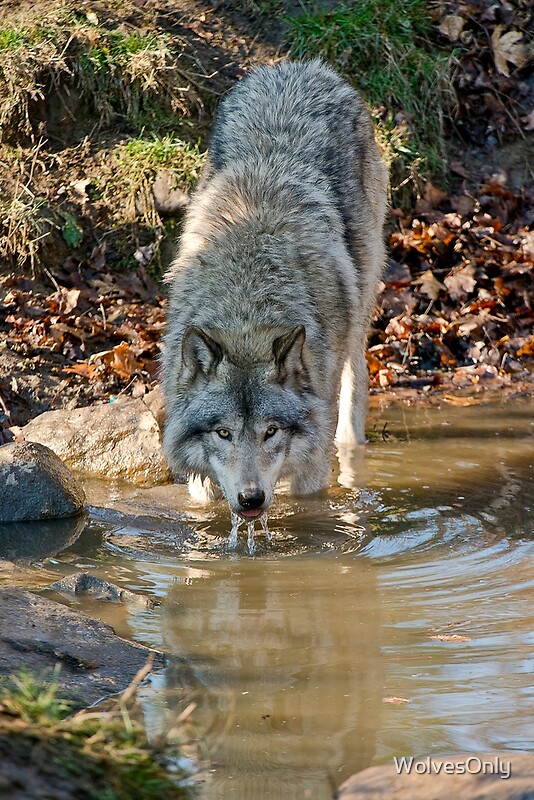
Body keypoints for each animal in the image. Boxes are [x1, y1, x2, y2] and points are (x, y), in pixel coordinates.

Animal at [162, 59, 388, 519]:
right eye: (223, 433)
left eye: (271, 431)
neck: (247, 307)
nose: (251, 498)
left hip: (362, 302)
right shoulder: (201, 479)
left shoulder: (313, 461)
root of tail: (303, 66)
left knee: (356, 382)